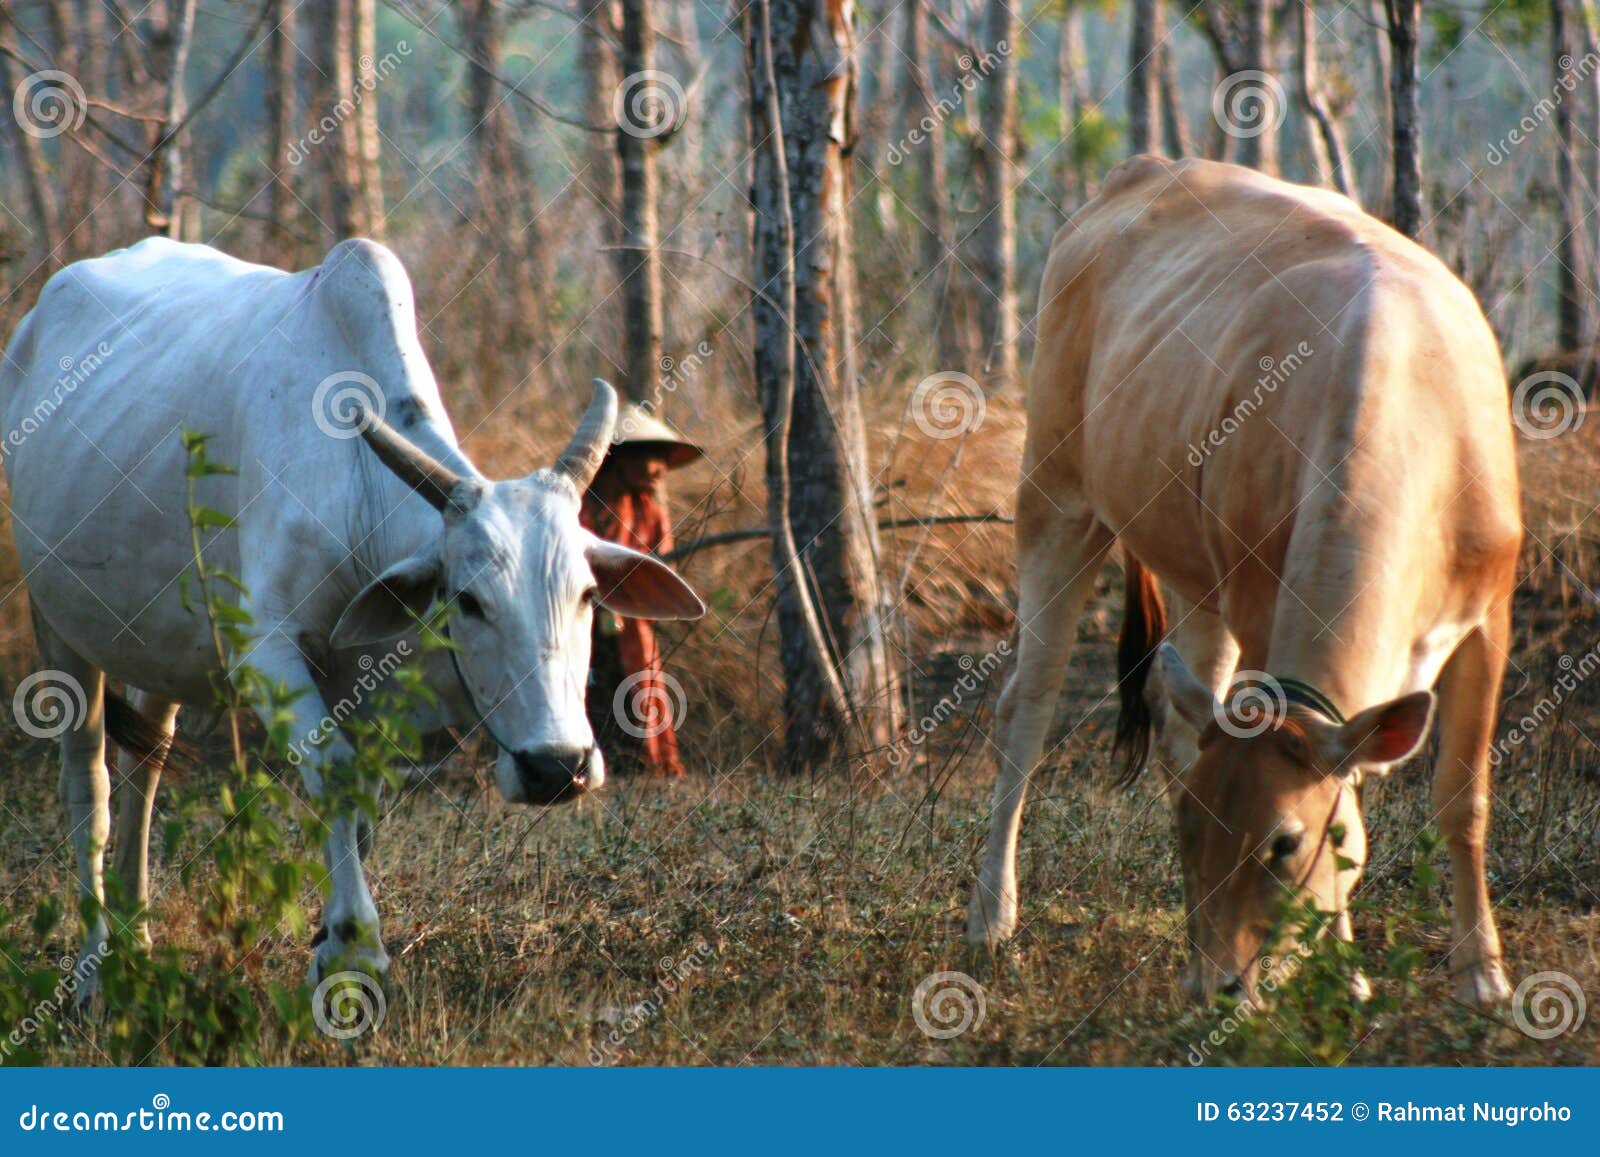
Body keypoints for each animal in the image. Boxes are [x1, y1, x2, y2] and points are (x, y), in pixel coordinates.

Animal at [0, 237, 705, 988]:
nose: (557, 767)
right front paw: (354, 945)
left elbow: (362, 804)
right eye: (468, 599)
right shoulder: (268, 653)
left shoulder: (366, 676)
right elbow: (334, 776)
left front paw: (325, 937)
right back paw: (93, 968)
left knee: (145, 769)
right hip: (58, 627)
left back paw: (138, 942)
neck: (355, 490)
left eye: (586, 594)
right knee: (88, 782)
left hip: (157, 644)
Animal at [967, 157, 1520, 1007]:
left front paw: (1481, 976)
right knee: (1026, 707)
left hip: (1192, 568)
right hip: (1055, 493)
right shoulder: (1260, 596)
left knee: (1173, 713)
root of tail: (1143, 169)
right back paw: (992, 918)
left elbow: (1462, 798)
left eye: (1283, 843)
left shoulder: (1491, 608)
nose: (1214, 985)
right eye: (1190, 830)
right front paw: (1345, 969)